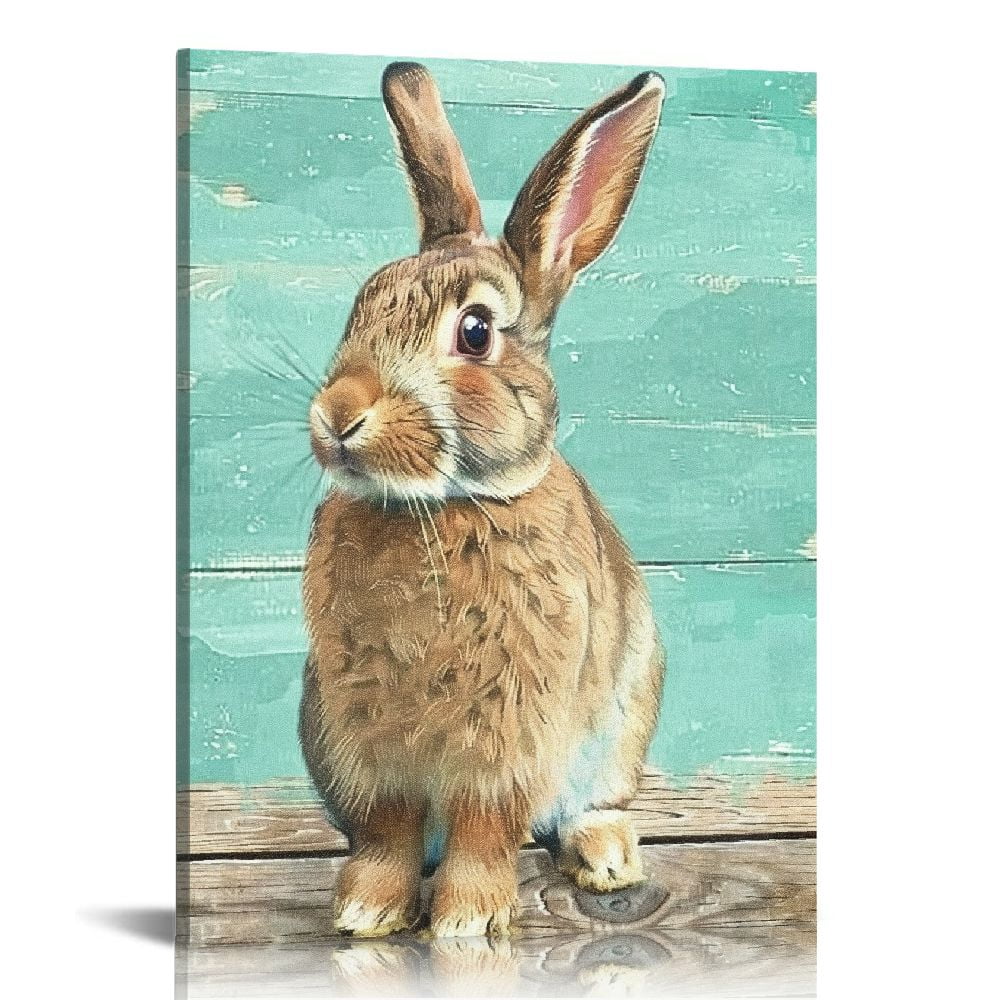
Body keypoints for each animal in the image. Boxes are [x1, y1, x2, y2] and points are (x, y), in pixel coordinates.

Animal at [299, 61, 666, 939]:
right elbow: (390, 827)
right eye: (362, 303)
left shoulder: (509, 732)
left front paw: (466, 919)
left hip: (626, 714)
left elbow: (483, 824)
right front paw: (366, 909)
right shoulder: (366, 737)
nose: (337, 415)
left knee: (588, 805)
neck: (439, 506)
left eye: (474, 332)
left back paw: (607, 857)